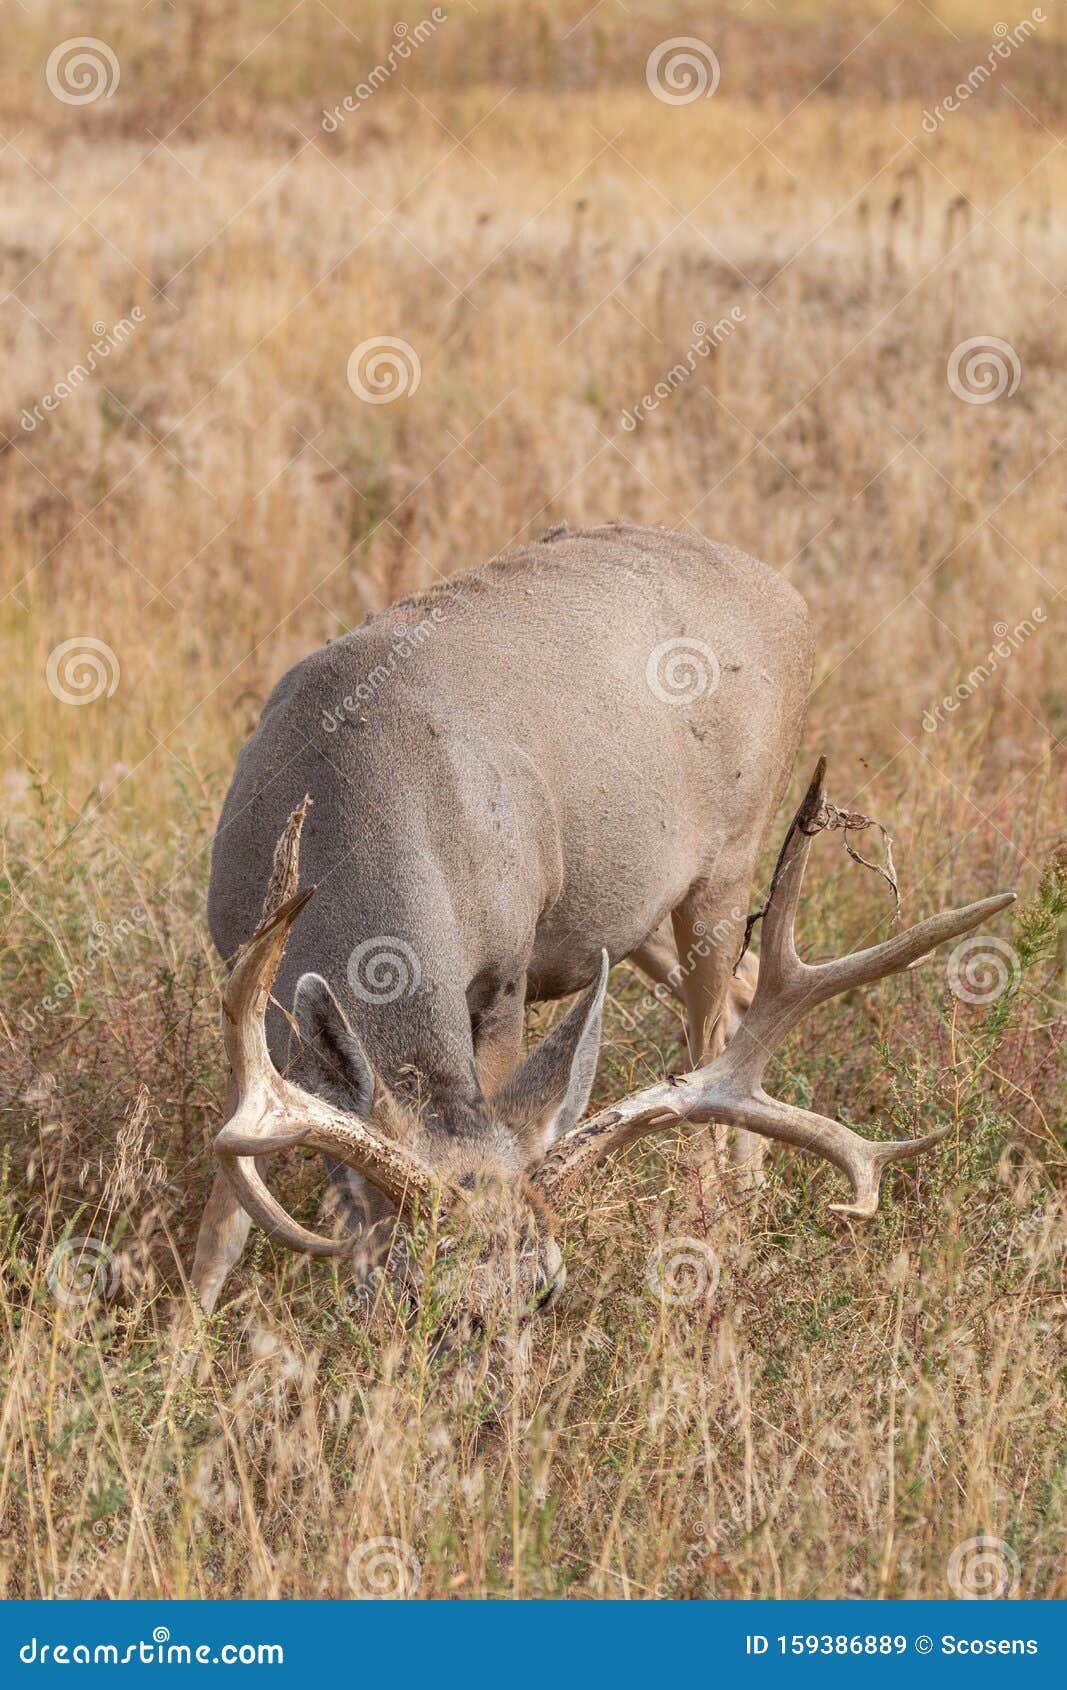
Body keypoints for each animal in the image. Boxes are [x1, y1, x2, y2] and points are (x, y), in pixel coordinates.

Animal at [190, 521, 1013, 1323]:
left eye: (547, 1290)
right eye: (413, 1295)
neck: (349, 788)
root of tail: (786, 592)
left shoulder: (503, 973)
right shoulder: (244, 972)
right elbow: (228, 1202)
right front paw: (186, 1337)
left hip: (729, 862)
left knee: (711, 1040)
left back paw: (722, 1230)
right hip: (636, 911)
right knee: (748, 989)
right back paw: (751, 1200)